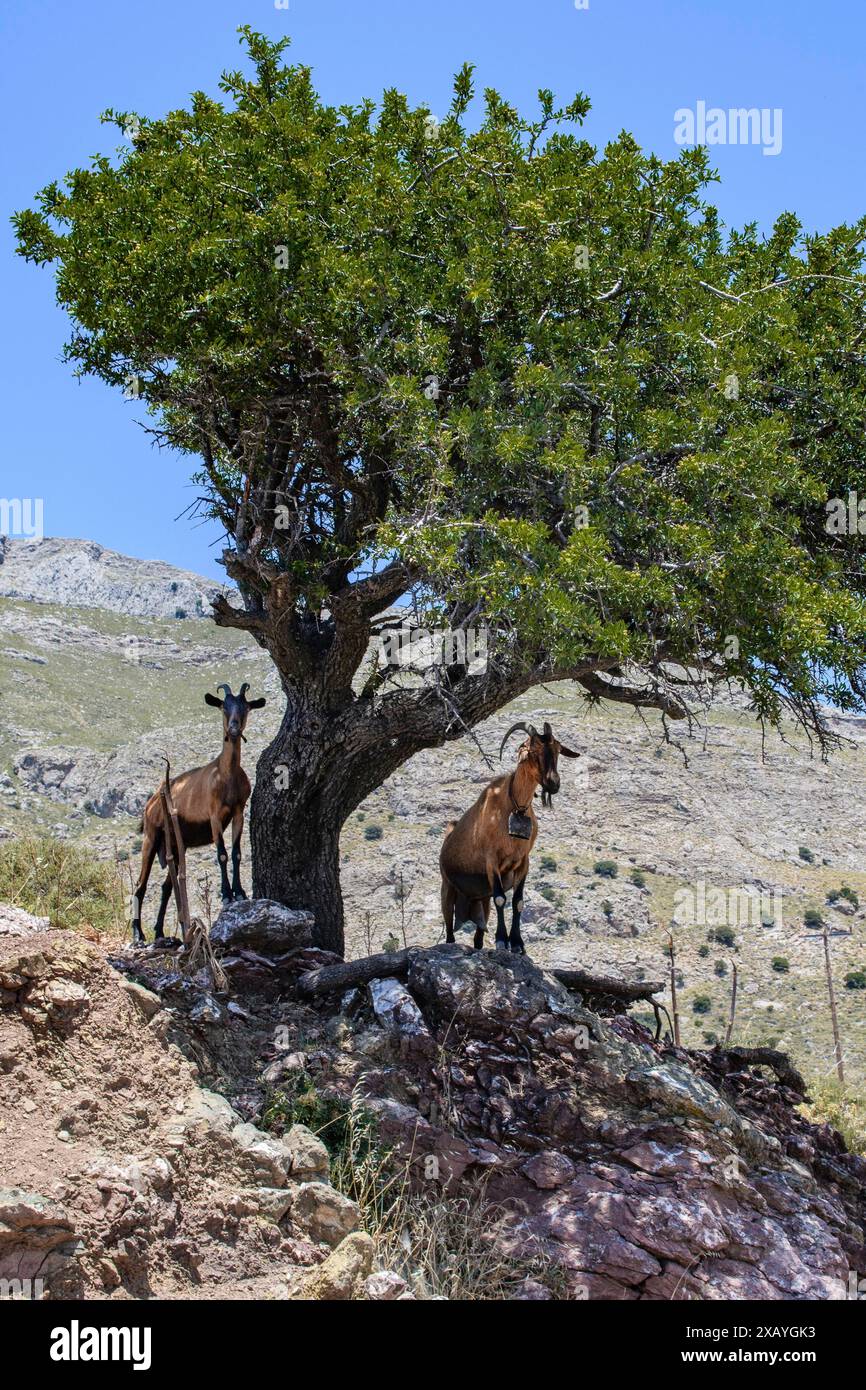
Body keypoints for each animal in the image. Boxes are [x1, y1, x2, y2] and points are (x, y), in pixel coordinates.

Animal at [131, 682, 266, 946]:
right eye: (224, 706)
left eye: (245, 706)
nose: (233, 728)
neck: (225, 775)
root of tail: (151, 802)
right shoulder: (214, 815)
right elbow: (222, 854)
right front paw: (226, 894)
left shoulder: (238, 812)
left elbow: (236, 853)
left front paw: (240, 892)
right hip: (151, 836)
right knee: (141, 884)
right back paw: (138, 933)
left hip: (174, 844)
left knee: (167, 886)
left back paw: (159, 931)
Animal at [439, 720, 578, 955]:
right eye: (532, 751)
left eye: (558, 750)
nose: (553, 783)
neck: (514, 807)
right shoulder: (492, 861)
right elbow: (501, 898)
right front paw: (502, 941)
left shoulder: (523, 862)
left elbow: (518, 901)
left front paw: (518, 944)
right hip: (447, 889)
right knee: (449, 931)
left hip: (480, 902)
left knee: (478, 936)